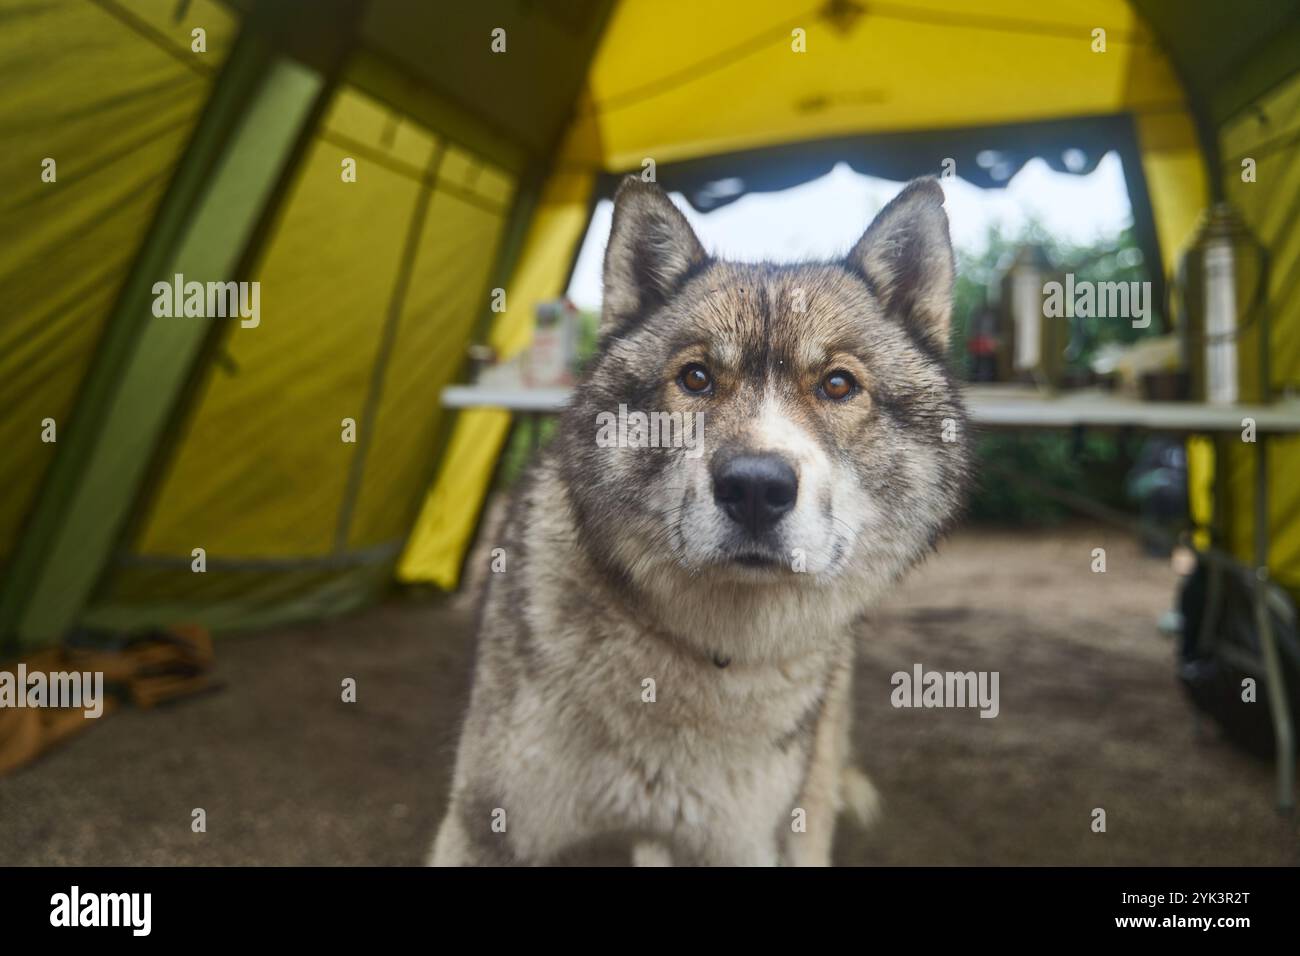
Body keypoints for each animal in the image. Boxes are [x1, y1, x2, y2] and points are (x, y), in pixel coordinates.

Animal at [431, 176, 971, 865]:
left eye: (838, 385)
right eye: (695, 378)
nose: (756, 487)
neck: (702, 653)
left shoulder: (738, 845)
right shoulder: (482, 829)